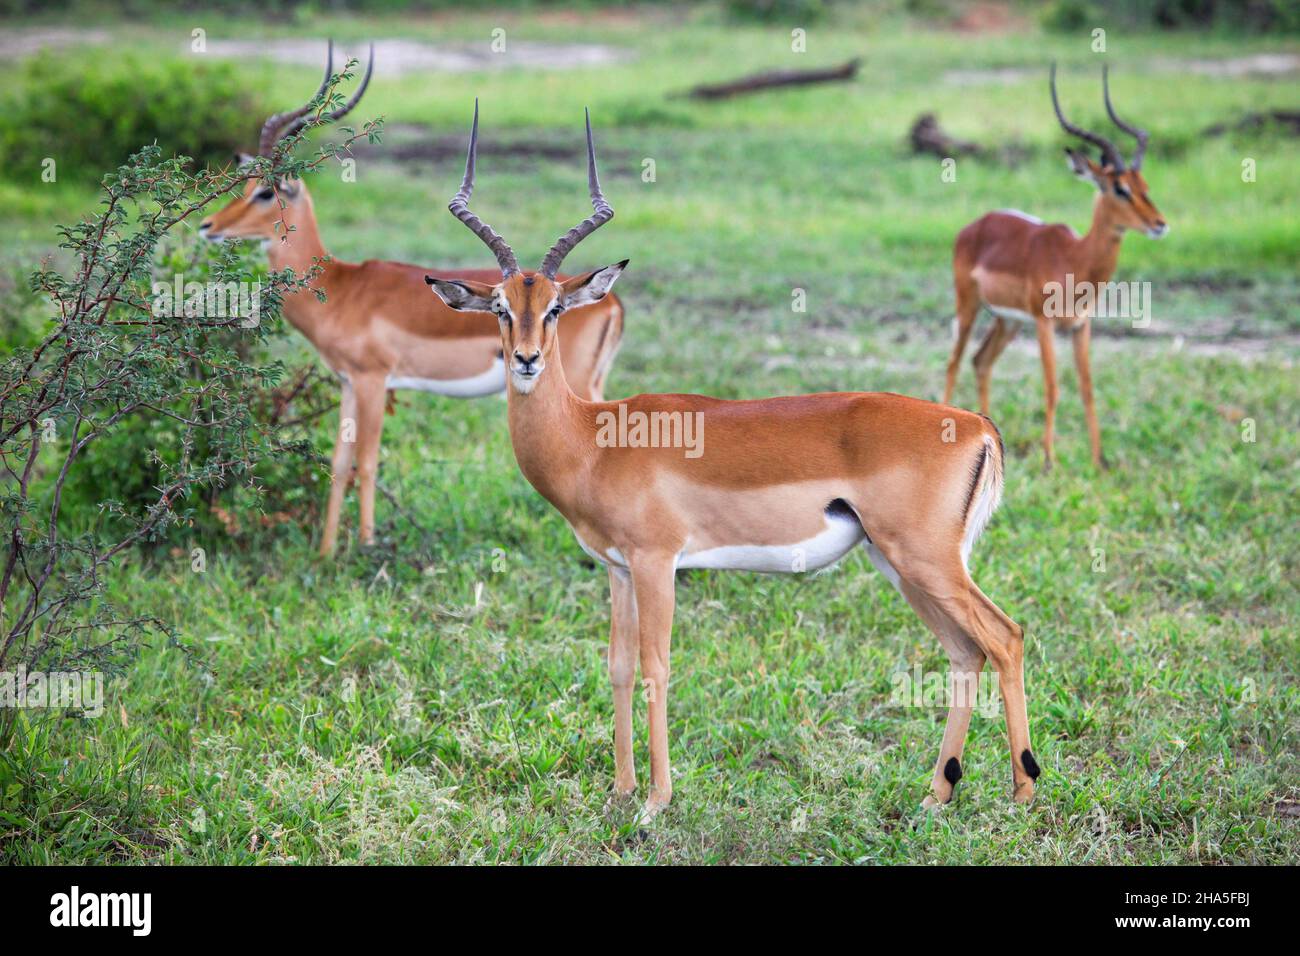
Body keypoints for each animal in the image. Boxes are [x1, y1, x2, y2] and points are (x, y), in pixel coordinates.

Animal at [200, 44, 625, 555]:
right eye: (245, 185)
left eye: (265, 192)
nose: (207, 226)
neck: (341, 287)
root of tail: (610, 302)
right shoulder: (347, 383)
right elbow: (338, 462)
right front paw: (325, 554)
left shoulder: (373, 381)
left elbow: (367, 461)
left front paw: (364, 547)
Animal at [426, 107, 1040, 819]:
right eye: (501, 308)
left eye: (554, 306)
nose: (525, 360)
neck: (594, 440)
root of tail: (977, 424)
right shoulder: (617, 568)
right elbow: (619, 667)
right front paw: (620, 791)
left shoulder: (657, 561)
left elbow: (658, 667)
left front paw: (656, 802)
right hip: (901, 563)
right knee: (966, 651)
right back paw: (936, 794)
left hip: (925, 560)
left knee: (1005, 636)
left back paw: (1024, 791)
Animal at [943, 65, 1167, 470]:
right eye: (1119, 188)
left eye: (1144, 184)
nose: (1160, 224)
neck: (1074, 258)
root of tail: (975, 224)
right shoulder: (1045, 324)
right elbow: (1053, 387)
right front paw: (1049, 460)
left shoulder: (1080, 326)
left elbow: (1087, 388)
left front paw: (1099, 460)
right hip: (969, 306)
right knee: (954, 362)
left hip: (1008, 321)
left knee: (981, 361)